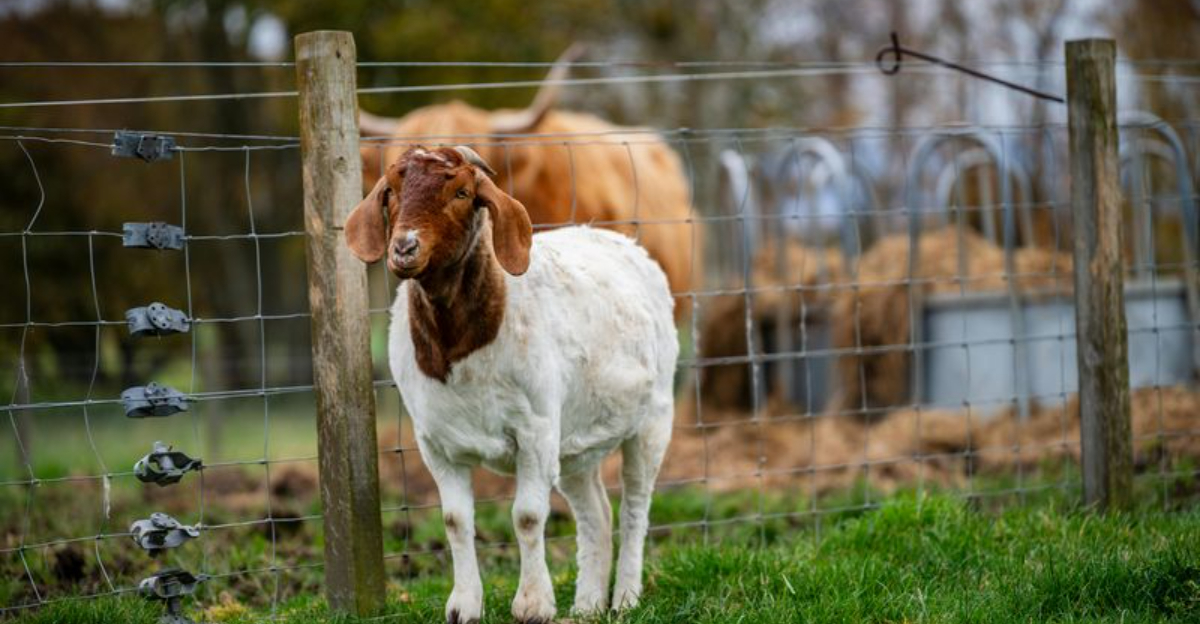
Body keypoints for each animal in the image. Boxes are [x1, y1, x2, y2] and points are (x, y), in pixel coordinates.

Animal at [345, 145, 677, 623]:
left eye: (462, 193)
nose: (405, 247)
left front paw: (533, 605)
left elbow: (527, 516)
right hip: (574, 439)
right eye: (390, 191)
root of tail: (623, 243)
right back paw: (587, 606)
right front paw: (464, 606)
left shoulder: (535, 430)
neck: (458, 345)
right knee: (596, 512)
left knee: (636, 505)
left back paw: (625, 598)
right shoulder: (436, 442)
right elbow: (455, 520)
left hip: (652, 419)